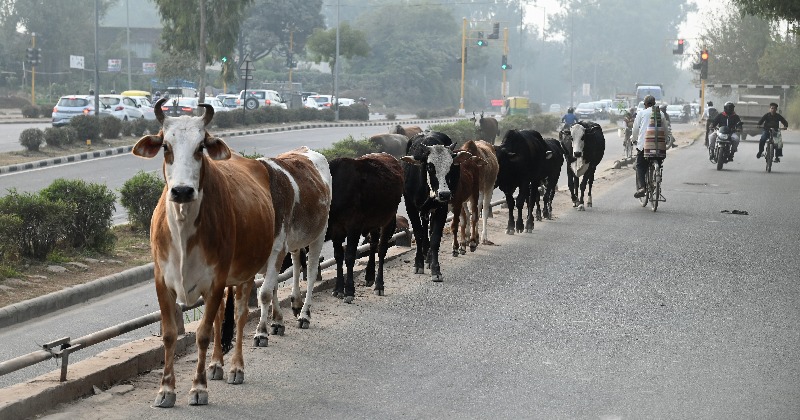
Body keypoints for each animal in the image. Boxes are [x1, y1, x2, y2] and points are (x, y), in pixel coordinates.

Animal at [132, 98, 275, 408]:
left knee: (240, 316)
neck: (184, 228)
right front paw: (166, 389)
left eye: (200, 147)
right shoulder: (162, 281)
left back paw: (234, 368)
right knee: (222, 316)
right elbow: (170, 335)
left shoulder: (216, 280)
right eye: (166, 146)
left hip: (243, 275)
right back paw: (216, 365)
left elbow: (203, 334)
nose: (182, 191)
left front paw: (198, 388)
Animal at [252, 147, 332, 347]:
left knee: (311, 271)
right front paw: (277, 321)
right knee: (296, 260)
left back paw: (304, 314)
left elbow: (265, 292)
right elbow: (272, 287)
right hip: (295, 240)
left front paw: (261, 333)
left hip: (320, 232)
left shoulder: (277, 248)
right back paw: (295, 302)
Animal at [327, 152, 404, 303]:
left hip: (389, 218)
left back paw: (379, 285)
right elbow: (338, 256)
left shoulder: (354, 227)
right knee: (373, 244)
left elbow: (349, 257)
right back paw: (369, 276)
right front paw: (338, 289)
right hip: (373, 222)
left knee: (381, 249)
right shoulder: (336, 230)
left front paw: (349, 291)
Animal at [402, 131, 473, 281]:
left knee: (429, 230)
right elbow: (418, 234)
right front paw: (418, 264)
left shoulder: (442, 208)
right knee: (424, 229)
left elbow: (435, 237)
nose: (444, 194)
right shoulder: (410, 206)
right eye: (430, 166)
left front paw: (436, 269)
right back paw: (424, 256)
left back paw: (428, 258)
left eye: (451, 166)